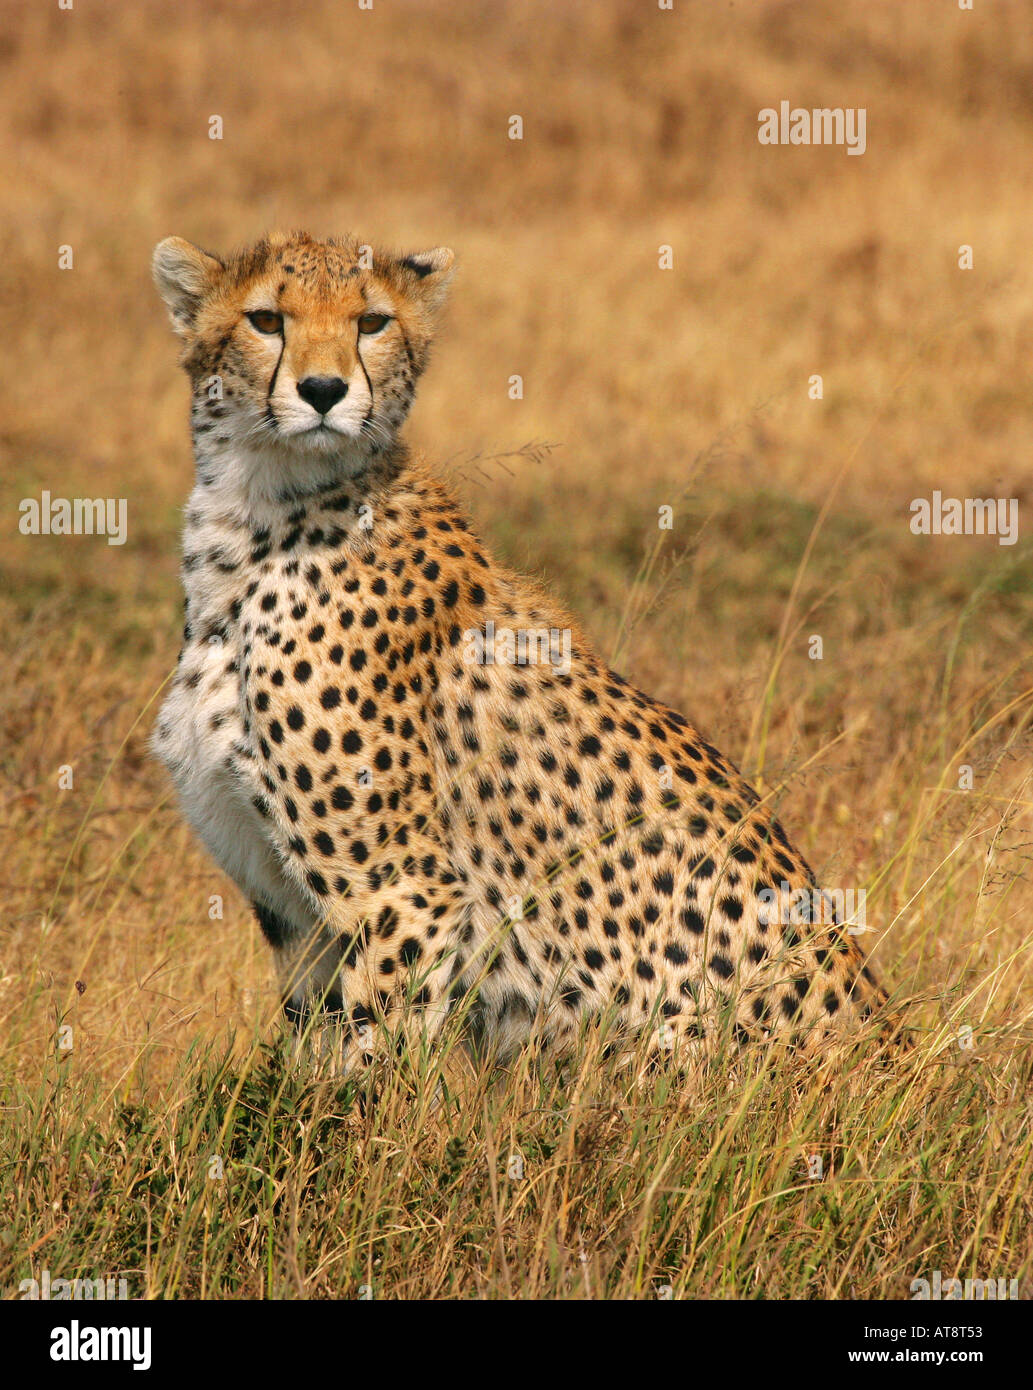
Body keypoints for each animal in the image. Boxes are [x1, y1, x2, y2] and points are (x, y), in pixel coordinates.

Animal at [151, 228, 890, 1077]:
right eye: (267, 319)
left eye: (371, 322)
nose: (324, 390)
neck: (253, 515)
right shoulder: (291, 908)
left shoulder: (402, 892)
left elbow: (368, 1071)